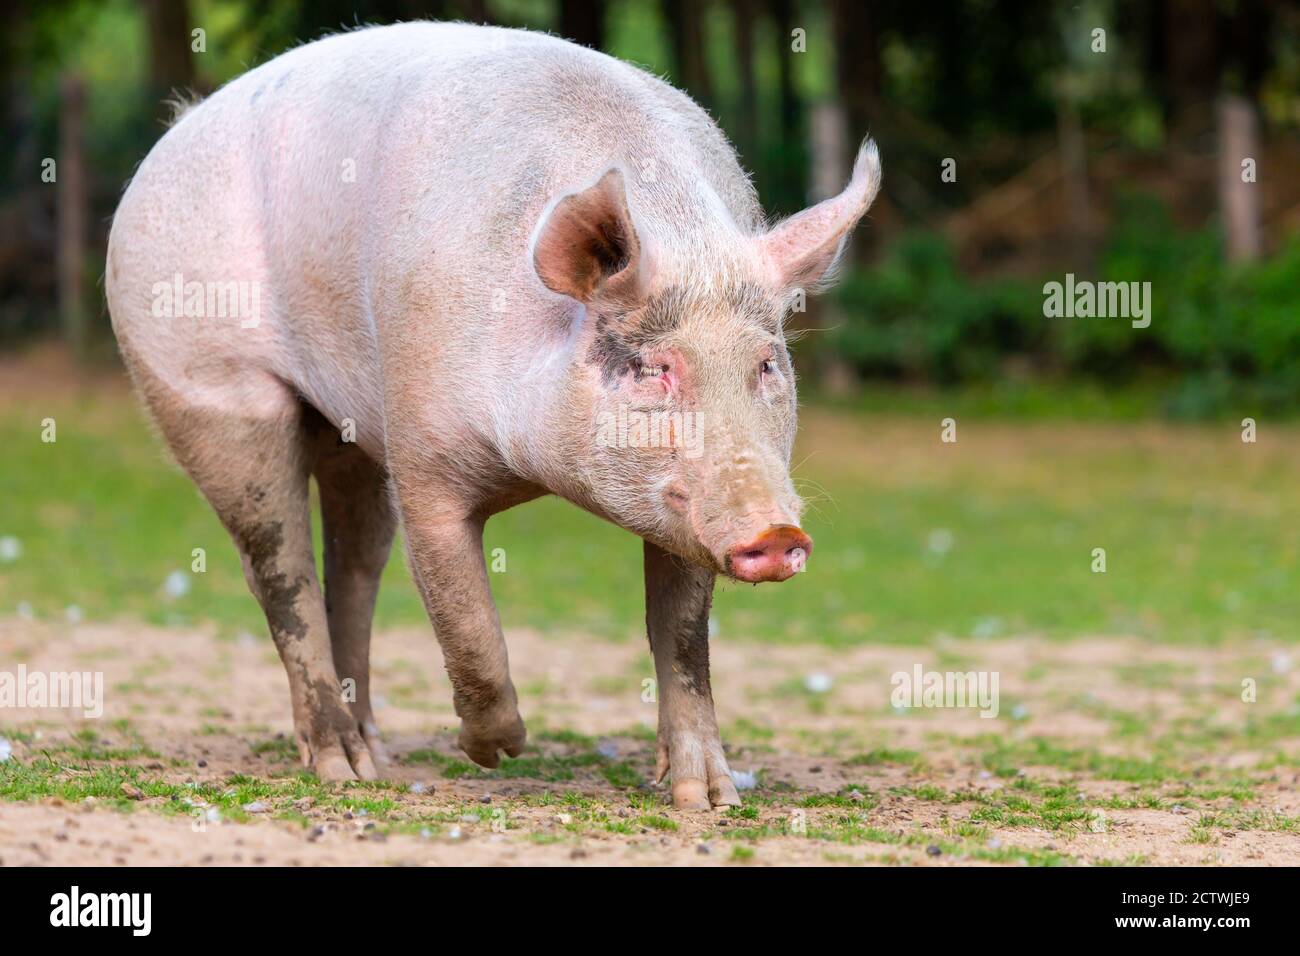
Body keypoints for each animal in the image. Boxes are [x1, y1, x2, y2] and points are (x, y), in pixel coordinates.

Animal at [106, 22, 881, 809]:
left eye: (766, 364)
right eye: (655, 368)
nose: (779, 532)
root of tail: (176, 131)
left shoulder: (681, 508)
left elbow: (684, 638)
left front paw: (708, 797)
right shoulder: (422, 452)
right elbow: (466, 617)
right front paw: (498, 752)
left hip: (353, 435)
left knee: (353, 565)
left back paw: (377, 756)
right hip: (208, 384)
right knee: (278, 569)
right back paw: (343, 768)